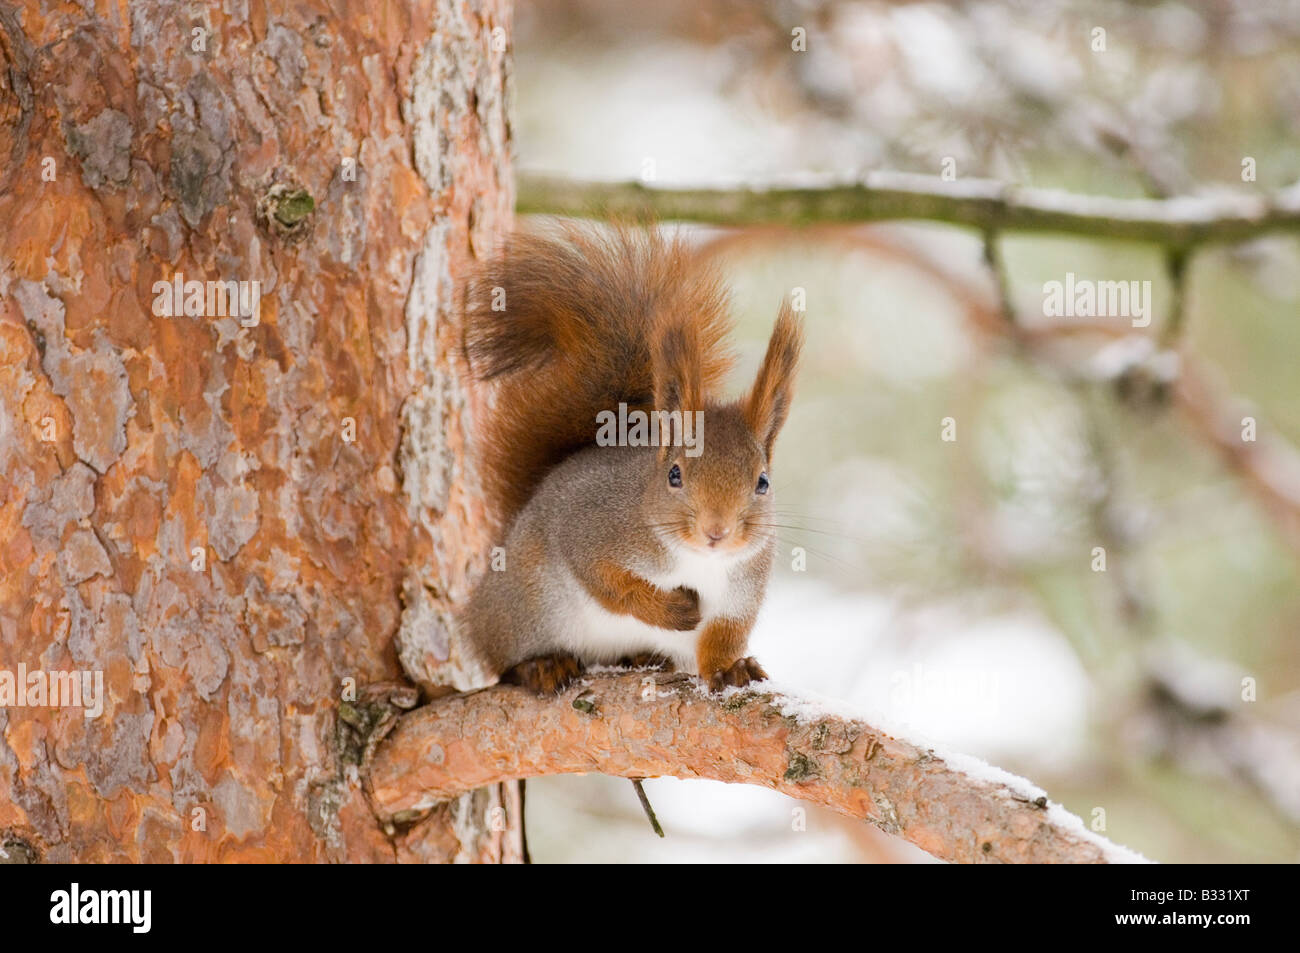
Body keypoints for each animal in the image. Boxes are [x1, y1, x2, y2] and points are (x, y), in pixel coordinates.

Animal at [458, 222, 803, 695]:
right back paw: (540, 666)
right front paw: (669, 610)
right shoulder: (590, 527)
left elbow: (722, 636)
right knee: (502, 659)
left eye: (762, 482)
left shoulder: (742, 589)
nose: (716, 532)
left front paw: (730, 669)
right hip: (524, 605)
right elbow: (608, 582)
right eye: (675, 474)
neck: (698, 560)